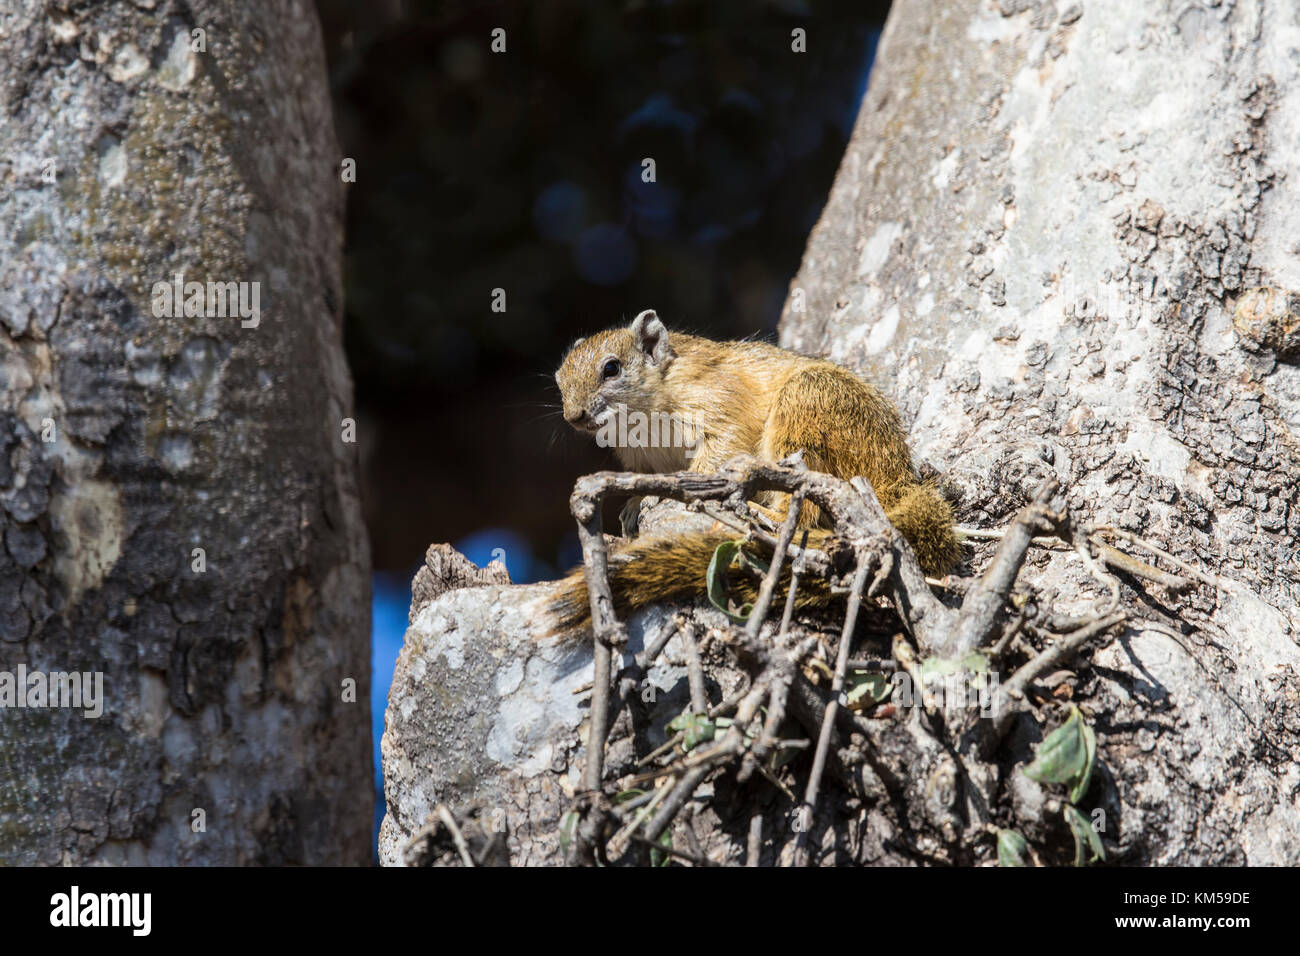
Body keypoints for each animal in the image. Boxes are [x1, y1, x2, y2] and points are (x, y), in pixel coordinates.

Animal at [548, 310, 960, 636]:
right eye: (559, 377)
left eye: (611, 368)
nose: (574, 416)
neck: (643, 422)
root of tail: (896, 479)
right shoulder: (641, 460)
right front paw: (634, 504)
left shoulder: (721, 410)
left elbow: (717, 454)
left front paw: (664, 494)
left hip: (804, 410)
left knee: (806, 510)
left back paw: (764, 514)